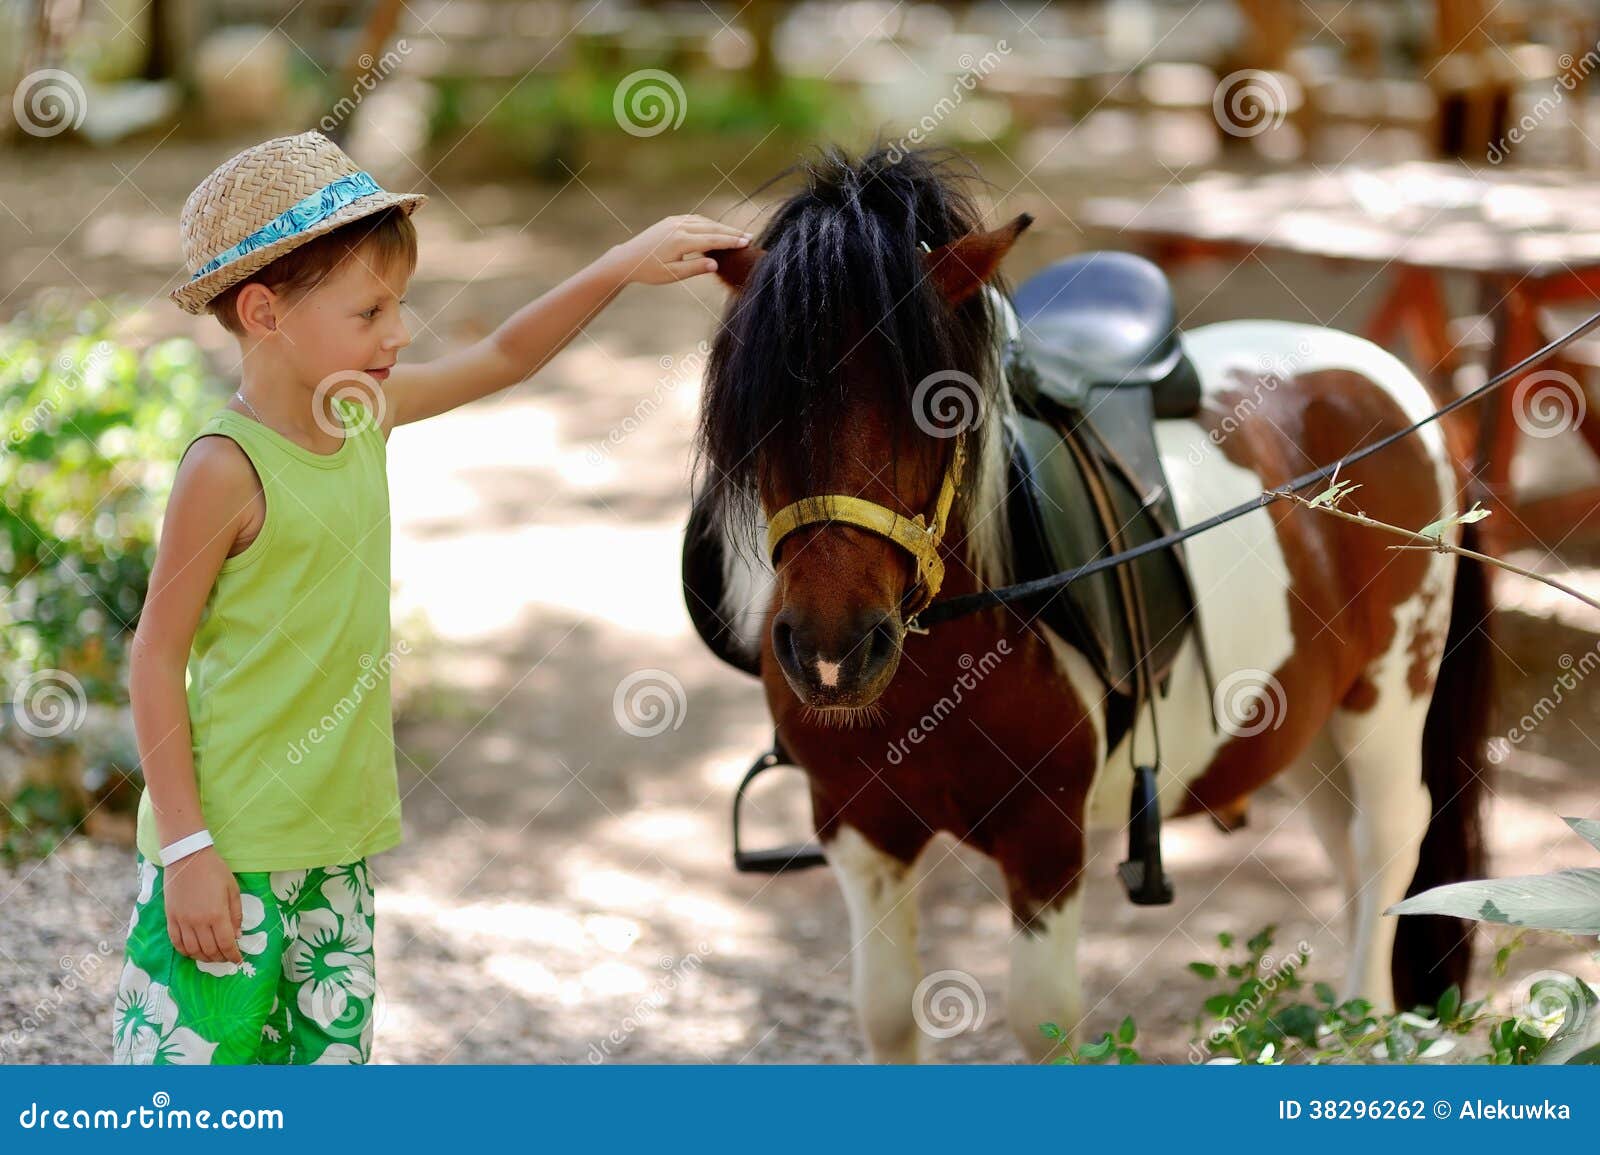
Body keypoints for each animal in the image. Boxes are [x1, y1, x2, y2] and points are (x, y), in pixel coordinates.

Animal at [690, 144, 1491, 1063]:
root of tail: (1393, 381)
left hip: (1388, 694)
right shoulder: (857, 826)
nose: (832, 648)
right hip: (1309, 722)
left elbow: (1042, 1018)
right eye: (760, 412)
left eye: (937, 405)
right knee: (1350, 854)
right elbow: (887, 1011)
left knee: (1388, 839)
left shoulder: (1045, 838)